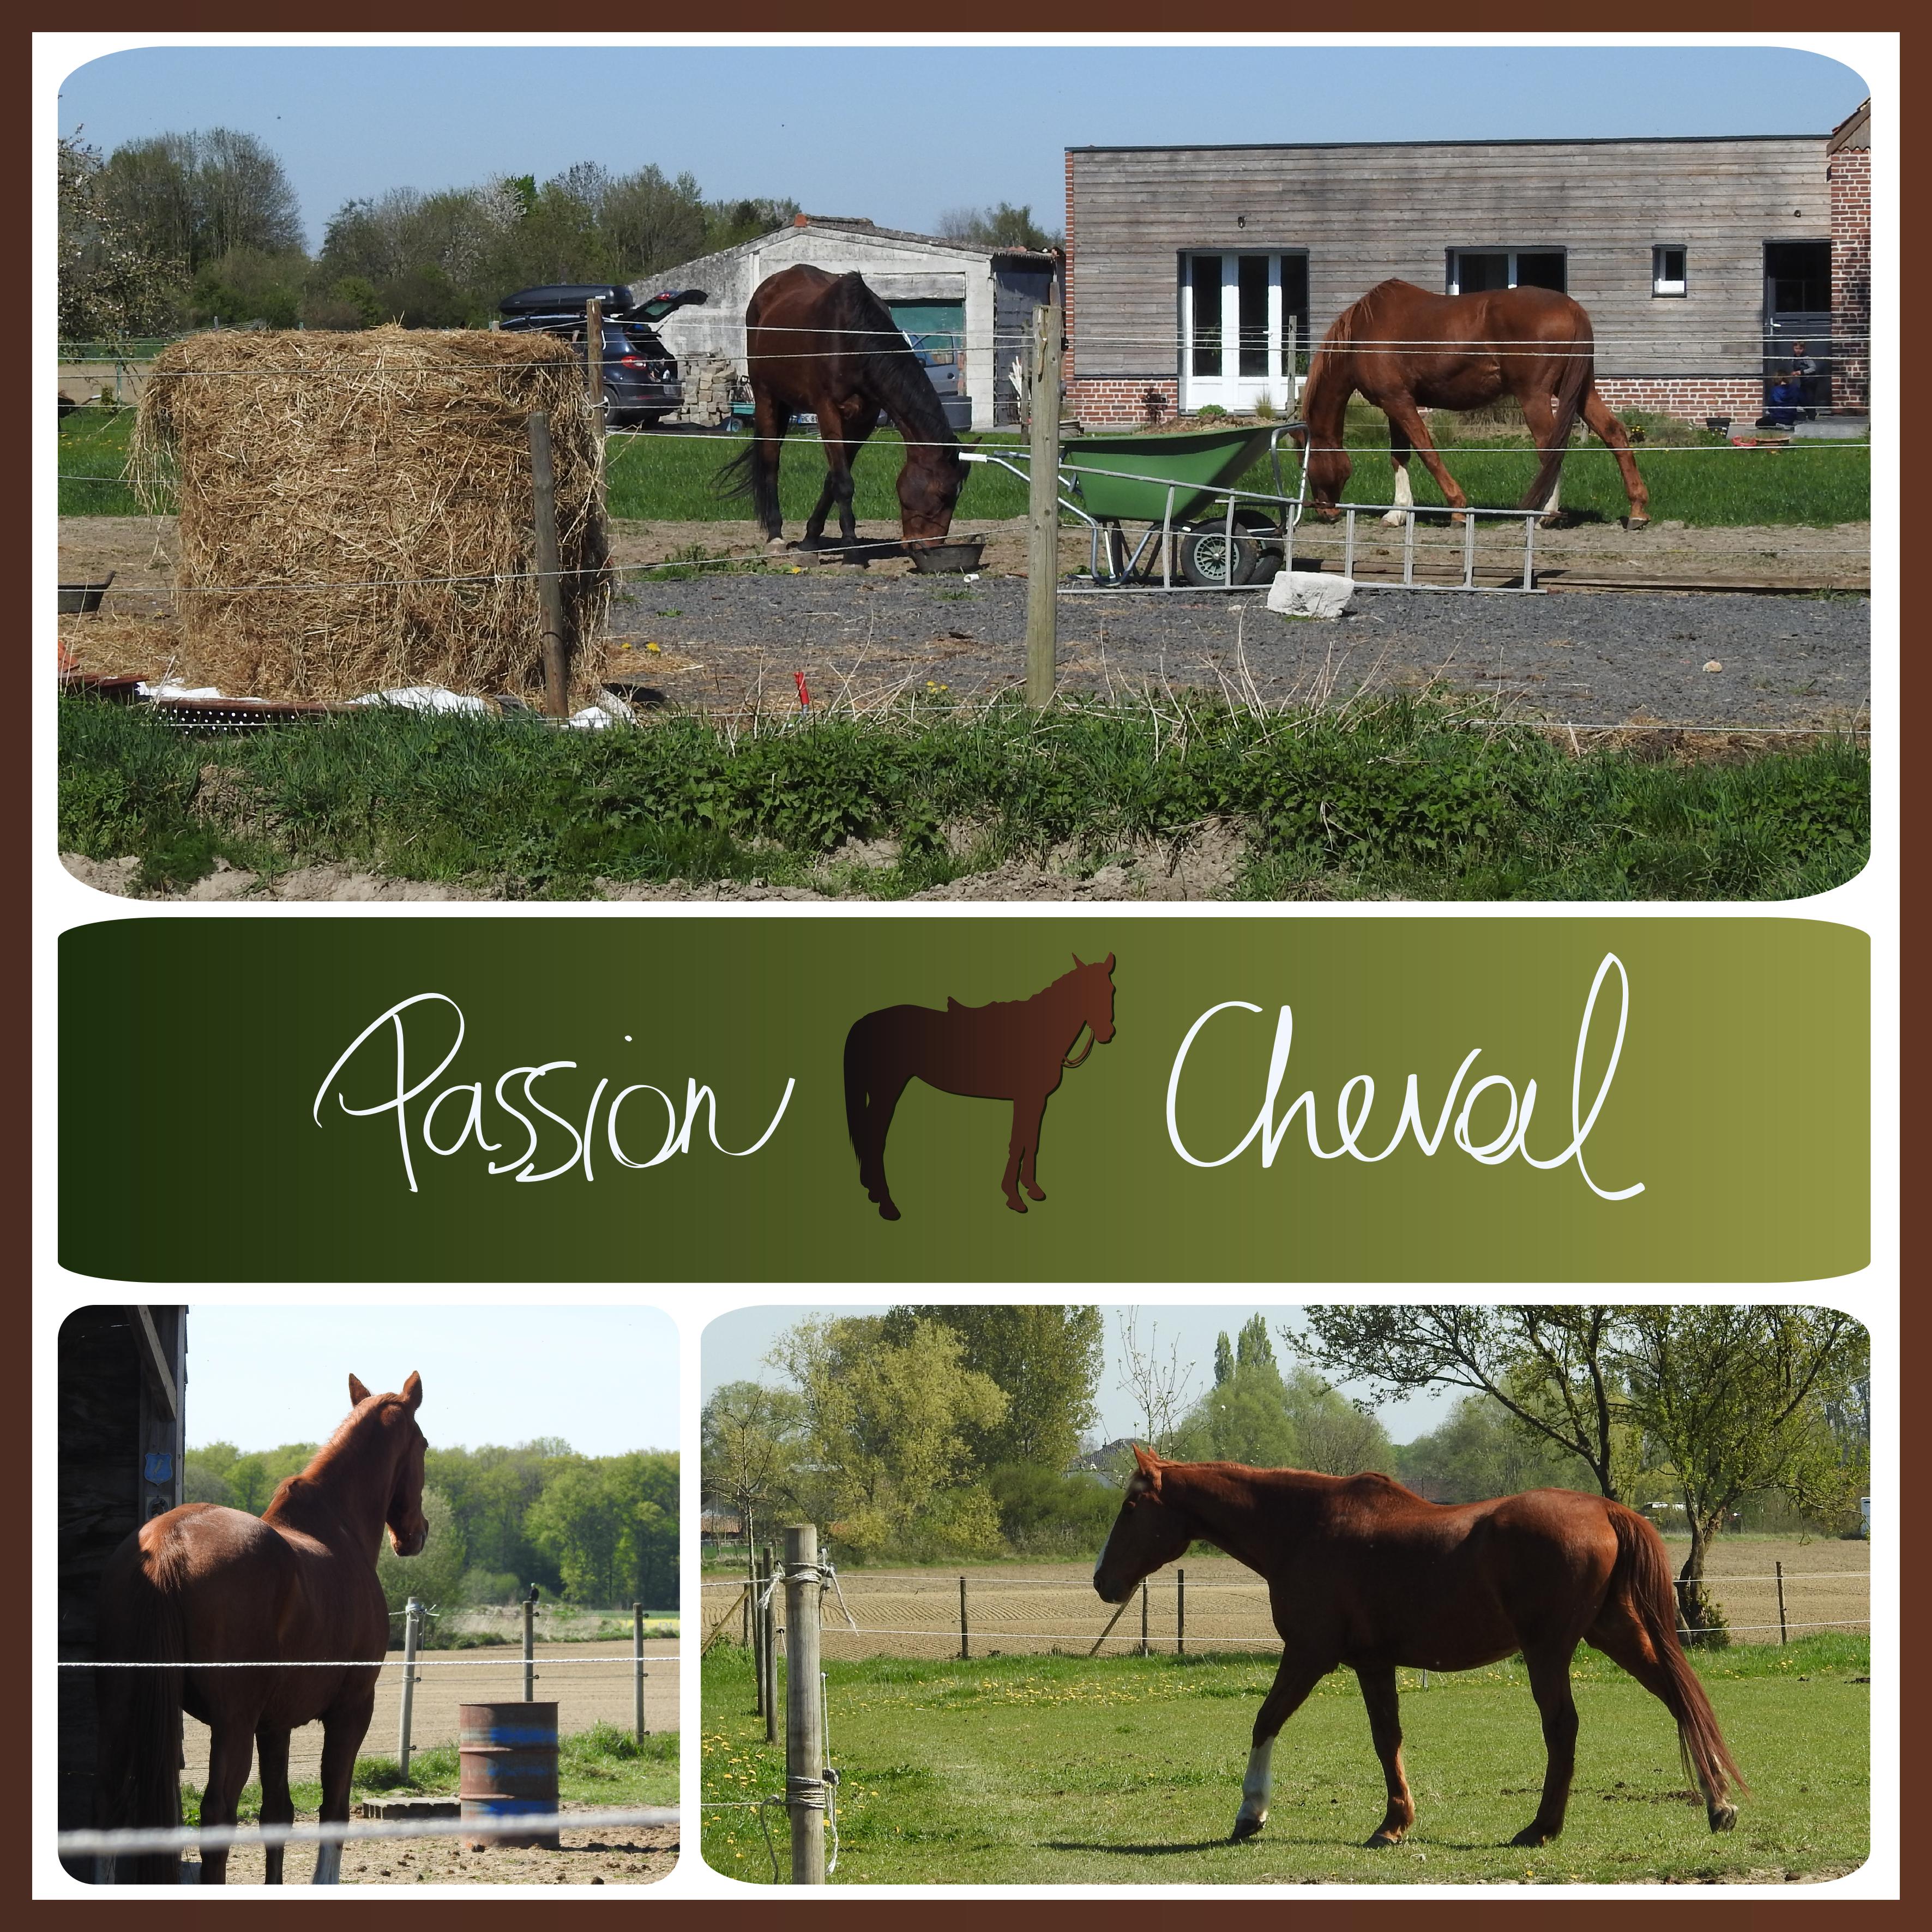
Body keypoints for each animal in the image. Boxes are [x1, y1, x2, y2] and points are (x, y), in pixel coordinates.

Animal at [93, 1373, 429, 1885]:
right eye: (424, 1445)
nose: (416, 1533)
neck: (338, 1530)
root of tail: (167, 1542)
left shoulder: (276, 1724)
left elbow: (278, 1814)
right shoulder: (352, 1709)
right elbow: (334, 1810)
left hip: (123, 1708)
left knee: (110, 1807)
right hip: (233, 1722)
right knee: (217, 1815)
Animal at [718, 264, 966, 562]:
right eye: (942, 495)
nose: (930, 546)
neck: (854, 337)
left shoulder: (865, 421)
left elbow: (833, 479)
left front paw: (811, 540)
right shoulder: (828, 412)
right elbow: (844, 483)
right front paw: (852, 553)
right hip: (767, 396)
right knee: (770, 462)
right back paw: (775, 536)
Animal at [843, 953, 1116, 1220]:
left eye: (1111, 989)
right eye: (1086, 991)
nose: (1107, 1033)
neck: (1037, 1033)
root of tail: (865, 1022)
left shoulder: (1038, 1100)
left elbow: (1032, 1141)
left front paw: (1033, 1189)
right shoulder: (1024, 1098)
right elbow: (1017, 1142)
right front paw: (1014, 1198)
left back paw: (873, 1192)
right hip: (886, 1091)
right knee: (875, 1137)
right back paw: (887, 1205)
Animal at [1093, 1448, 1743, 1851]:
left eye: (1130, 1506)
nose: (1103, 1581)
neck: (1303, 1527)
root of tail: (1605, 1508)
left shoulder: (1309, 1653)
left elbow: (1266, 1719)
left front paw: (1251, 1812)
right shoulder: (1373, 1663)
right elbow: (1388, 1739)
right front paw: (1395, 1822)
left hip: (1549, 1650)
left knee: (1563, 1727)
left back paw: (1540, 1827)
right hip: (1615, 1633)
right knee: (1681, 1701)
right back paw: (1718, 1805)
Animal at [1292, 279, 1649, 530]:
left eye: (1306, 465)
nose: (1324, 512)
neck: (1364, 334)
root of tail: (1573, 309)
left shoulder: (1399, 403)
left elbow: (1427, 452)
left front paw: (1457, 509)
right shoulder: (1394, 405)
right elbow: (1399, 456)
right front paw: (1397, 513)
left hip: (1534, 396)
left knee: (1551, 449)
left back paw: (1545, 514)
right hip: (1580, 391)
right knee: (1614, 434)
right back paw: (1637, 511)